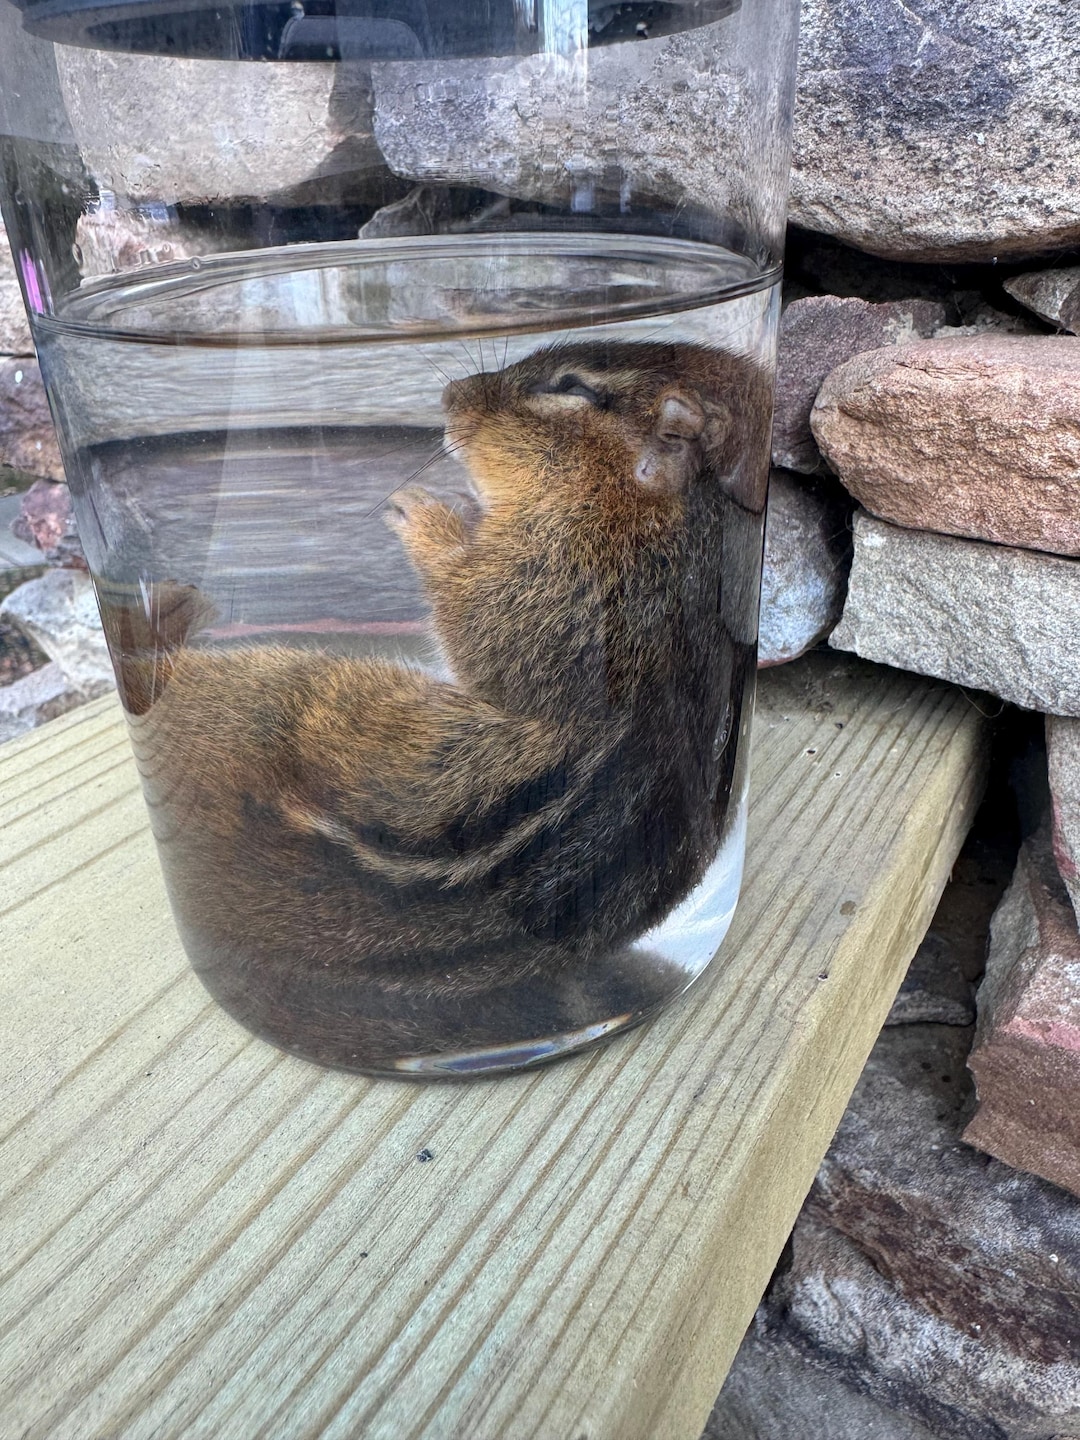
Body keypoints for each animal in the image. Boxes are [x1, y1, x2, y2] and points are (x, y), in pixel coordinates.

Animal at [105, 340, 772, 1070]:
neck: (673, 520)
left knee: (148, 673)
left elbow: (467, 609)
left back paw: (167, 608)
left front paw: (423, 509)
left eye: (570, 387)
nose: (449, 395)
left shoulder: (554, 581)